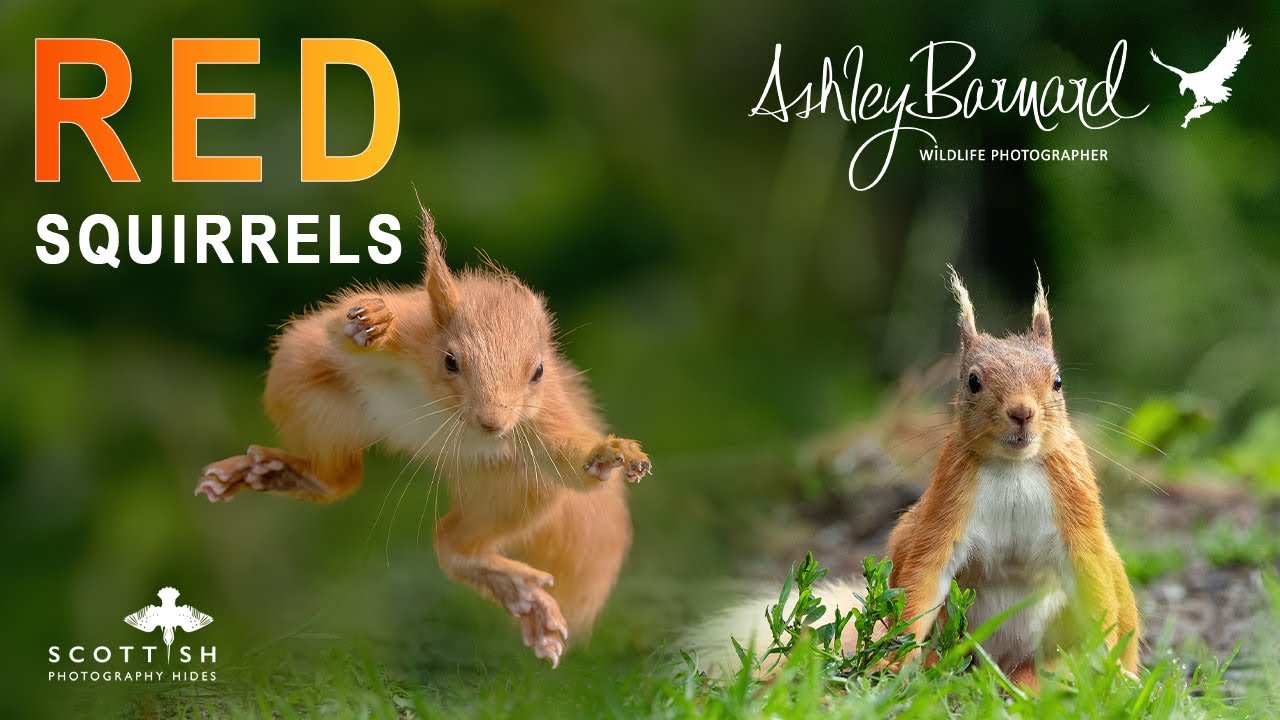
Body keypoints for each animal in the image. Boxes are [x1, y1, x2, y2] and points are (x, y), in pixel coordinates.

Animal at [196, 205, 652, 668]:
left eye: (539, 371)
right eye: (450, 361)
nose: (493, 424)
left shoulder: (542, 424)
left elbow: (573, 465)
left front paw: (612, 452)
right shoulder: (406, 331)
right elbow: (341, 332)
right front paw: (374, 324)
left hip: (510, 489)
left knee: (453, 543)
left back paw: (521, 595)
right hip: (314, 399)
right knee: (339, 479)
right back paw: (273, 473)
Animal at [688, 268, 1139, 689]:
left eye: (1058, 381)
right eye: (973, 381)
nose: (1022, 412)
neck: (1014, 467)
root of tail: (996, 662)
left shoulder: (1077, 510)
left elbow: (1096, 594)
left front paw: (1104, 664)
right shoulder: (946, 506)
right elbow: (925, 579)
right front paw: (892, 664)